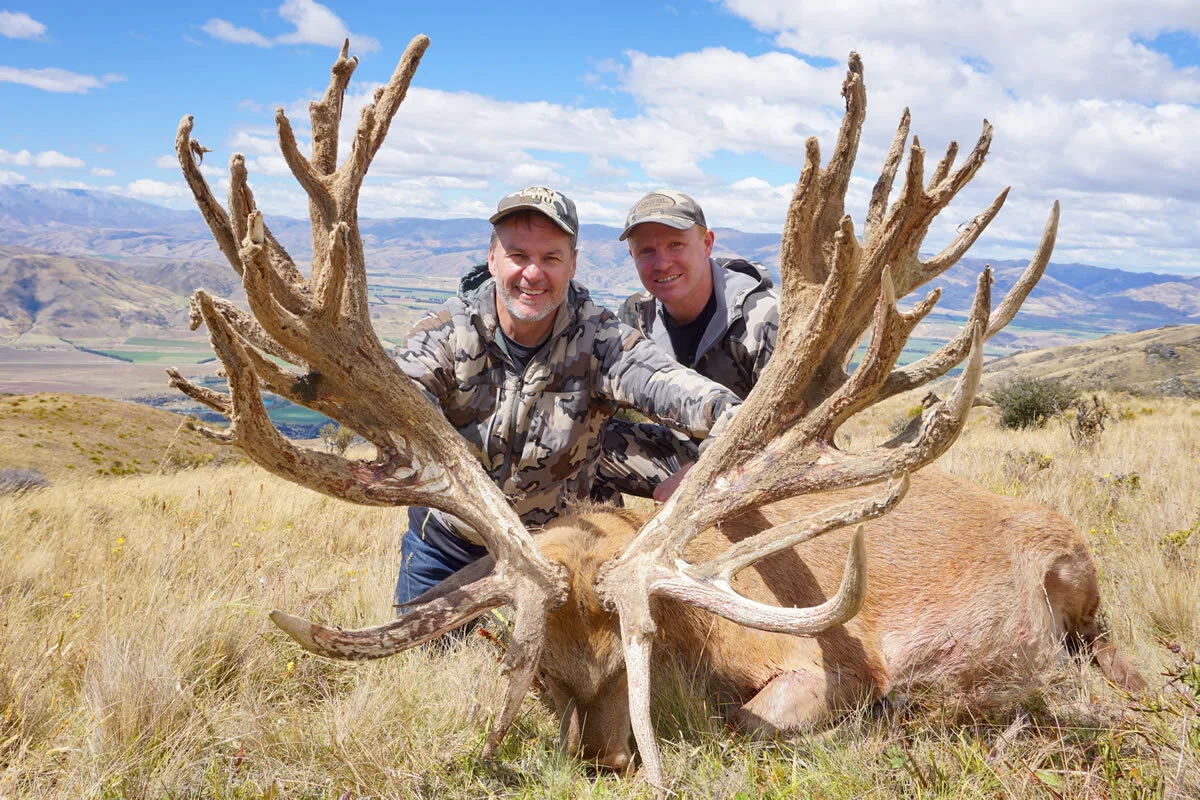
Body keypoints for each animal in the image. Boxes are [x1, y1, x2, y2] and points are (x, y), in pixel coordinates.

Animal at [167, 33, 1145, 794]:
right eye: (545, 680)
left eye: (624, 666)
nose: (606, 764)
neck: (695, 639)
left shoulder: (827, 663)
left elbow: (756, 722)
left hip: (1081, 586)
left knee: (1113, 660)